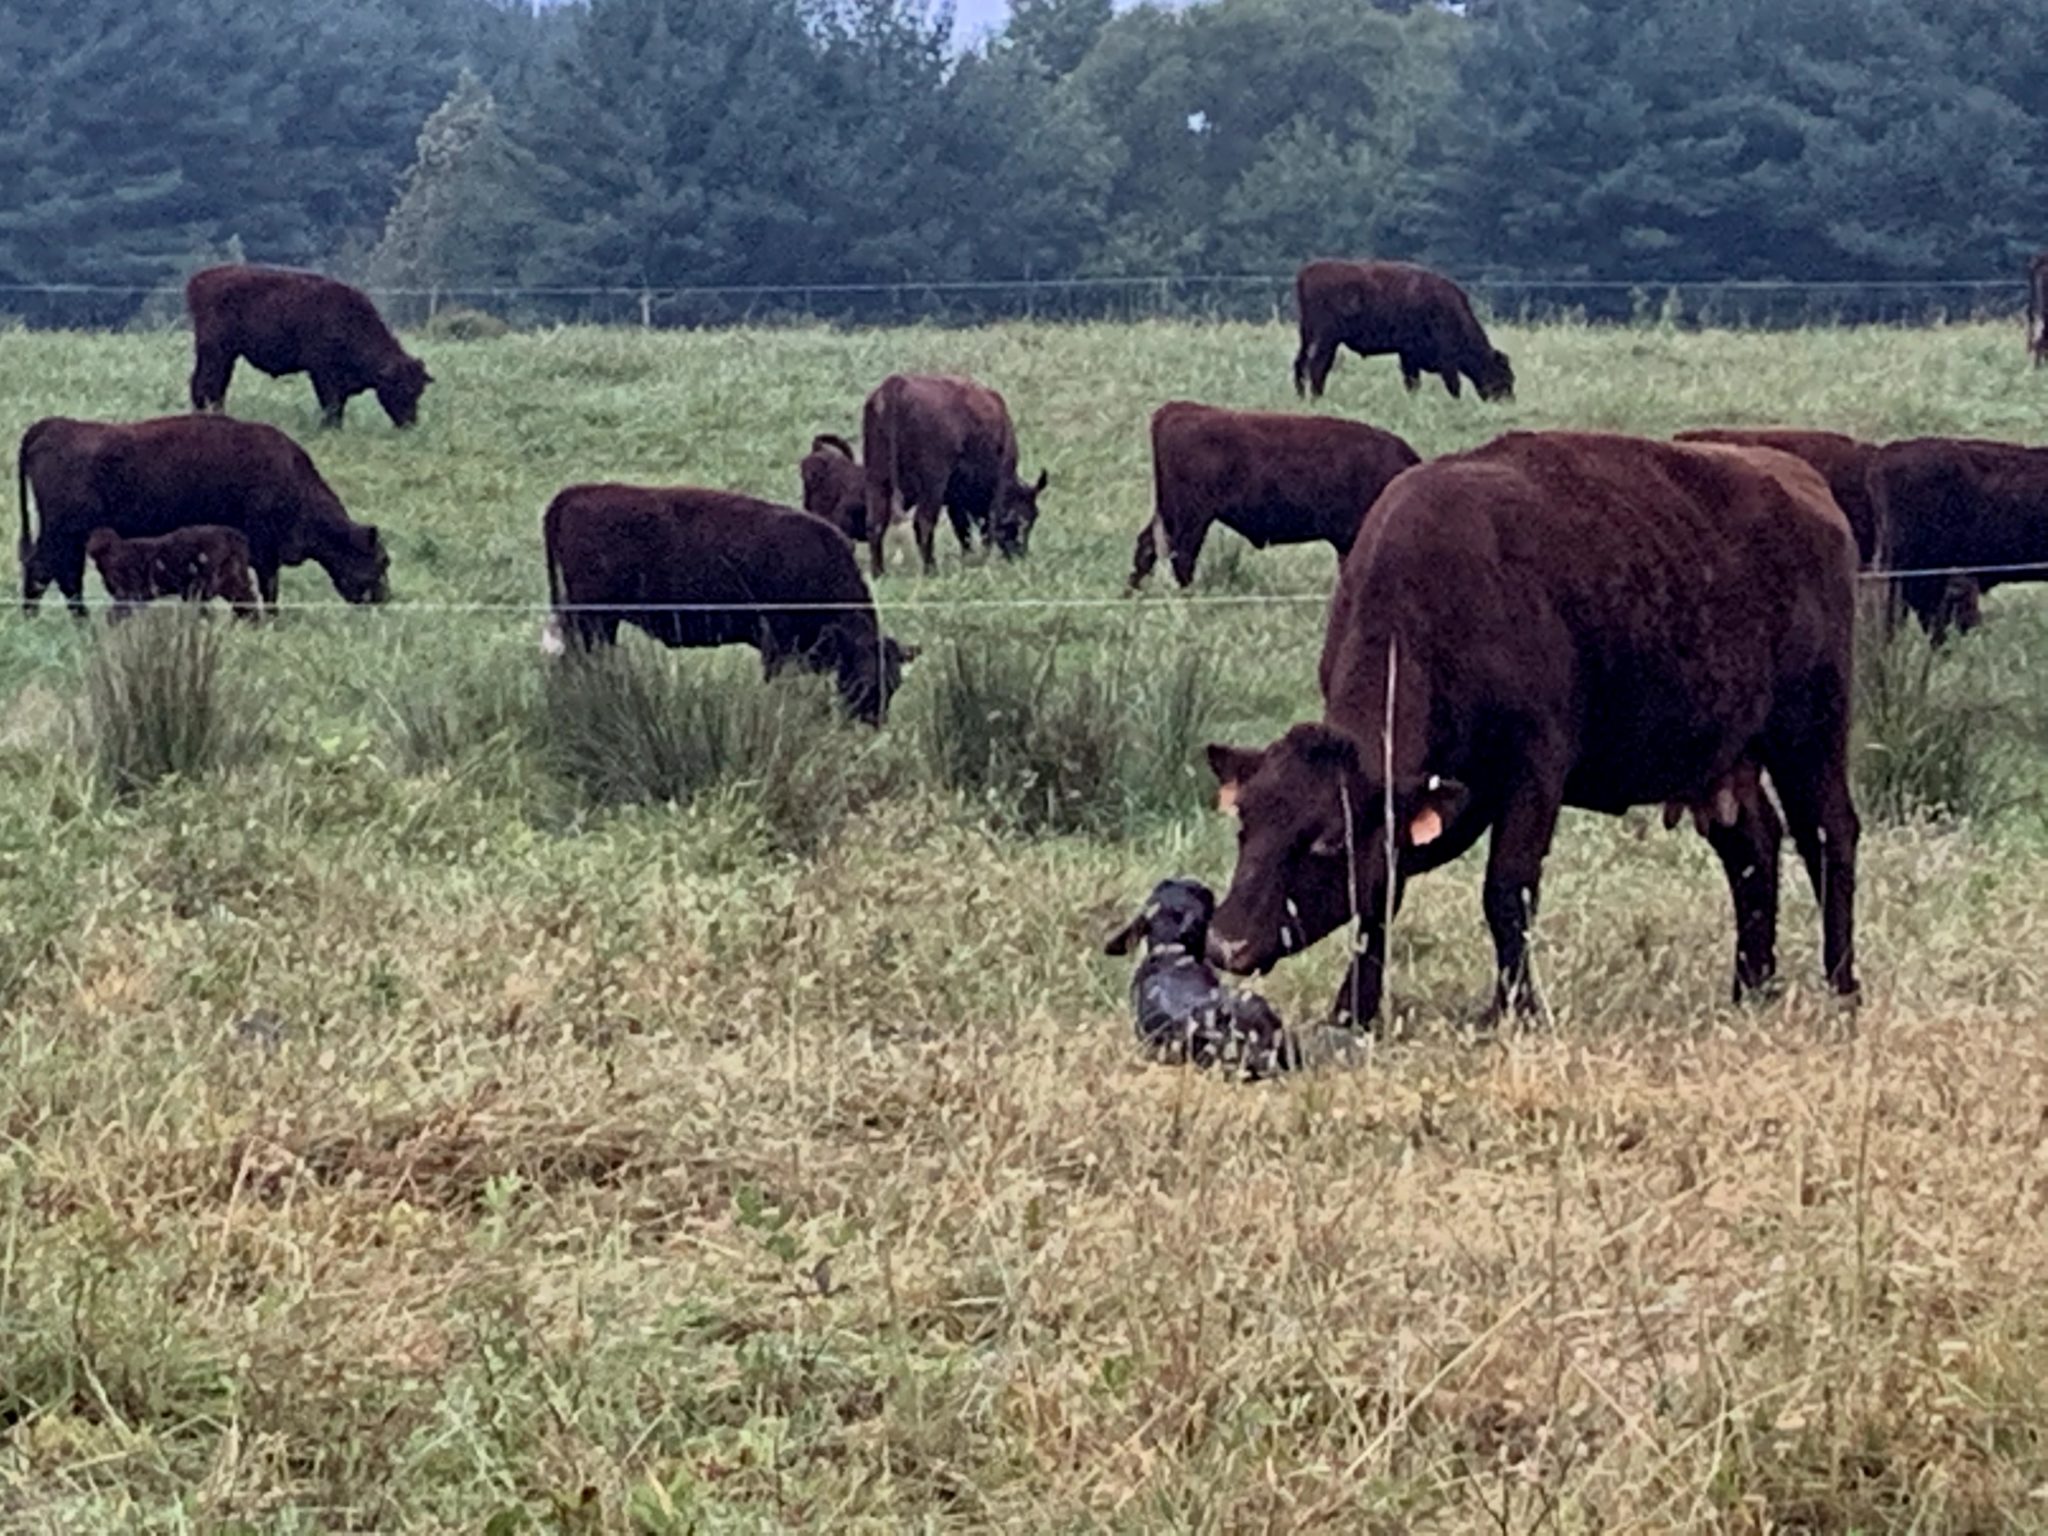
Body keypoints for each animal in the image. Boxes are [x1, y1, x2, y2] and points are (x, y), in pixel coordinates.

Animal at [186, 265, 432, 429]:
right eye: (403, 388)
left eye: (420, 389)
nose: (410, 423)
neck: (351, 320)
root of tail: (200, 279)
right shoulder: (323, 372)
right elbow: (331, 403)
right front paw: (330, 427)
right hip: (217, 351)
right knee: (207, 383)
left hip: (225, 355)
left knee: (213, 384)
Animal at [540, 485, 917, 725]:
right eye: (865, 679)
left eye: (895, 683)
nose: (875, 722)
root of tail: (575, 493)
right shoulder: (777, 648)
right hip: (591, 621)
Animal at [861, 374, 1047, 576]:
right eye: (1026, 517)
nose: (1019, 555)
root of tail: (896, 384)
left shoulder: (954, 500)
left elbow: (962, 530)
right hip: (932, 484)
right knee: (923, 522)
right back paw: (931, 570)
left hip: (877, 478)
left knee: (875, 523)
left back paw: (878, 572)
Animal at [1203, 432, 1860, 1033]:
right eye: (1244, 826)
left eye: (1327, 842)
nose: (1228, 943)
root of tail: (1802, 483)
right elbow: (1381, 895)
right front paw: (1353, 1011)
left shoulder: (1534, 773)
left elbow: (1506, 891)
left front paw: (1516, 1009)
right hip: (1727, 760)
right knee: (1753, 848)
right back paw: (1752, 986)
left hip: (1808, 733)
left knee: (1829, 836)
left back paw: (1842, 984)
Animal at [1293, 260, 1514, 404]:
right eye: (1505, 376)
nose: (1509, 401)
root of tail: (1307, 272)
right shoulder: (1443, 360)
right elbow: (1452, 384)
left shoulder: (1408, 354)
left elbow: (1412, 383)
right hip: (1326, 338)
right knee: (1317, 366)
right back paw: (1317, 399)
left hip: (1308, 336)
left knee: (1300, 364)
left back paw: (1302, 398)